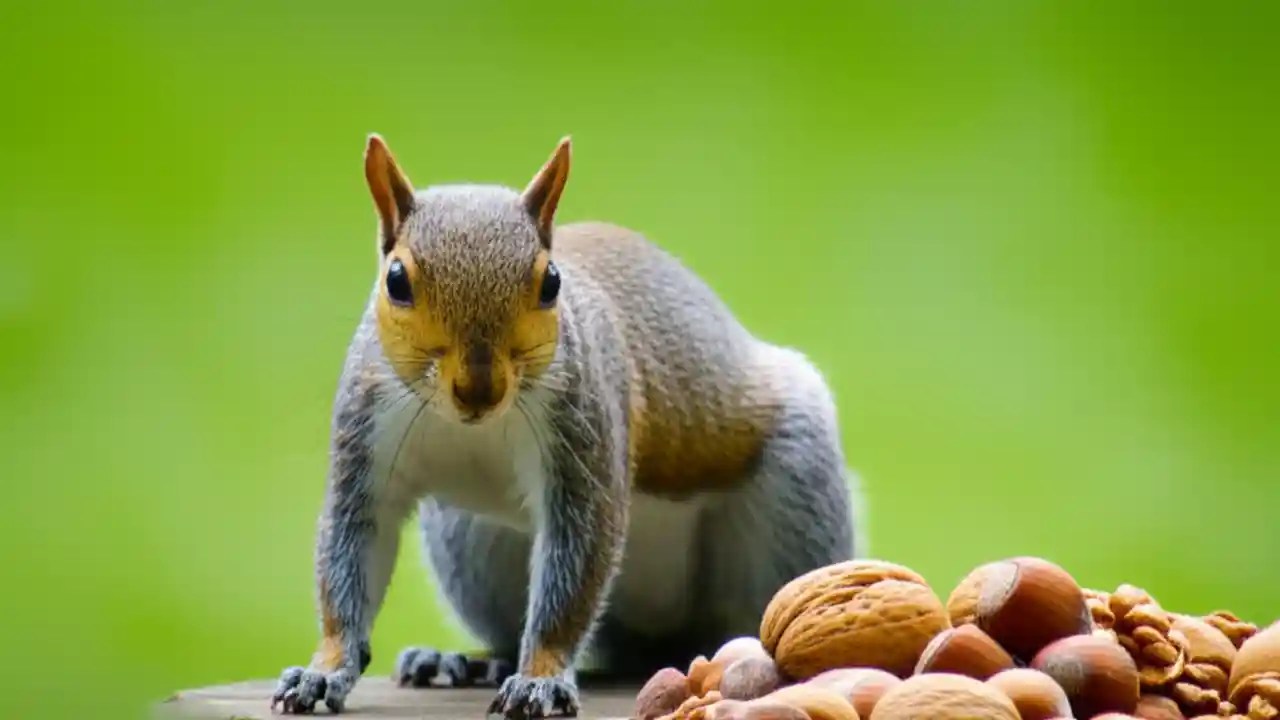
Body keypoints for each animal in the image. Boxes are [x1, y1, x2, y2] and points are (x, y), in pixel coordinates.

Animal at [269, 134, 863, 718]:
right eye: (396, 280)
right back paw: (463, 661)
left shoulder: (584, 433)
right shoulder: (366, 438)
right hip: (471, 540)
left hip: (790, 514)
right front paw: (324, 670)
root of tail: (654, 637)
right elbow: (350, 553)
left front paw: (540, 679)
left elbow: (573, 569)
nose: (479, 389)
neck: (473, 426)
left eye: (550, 283)